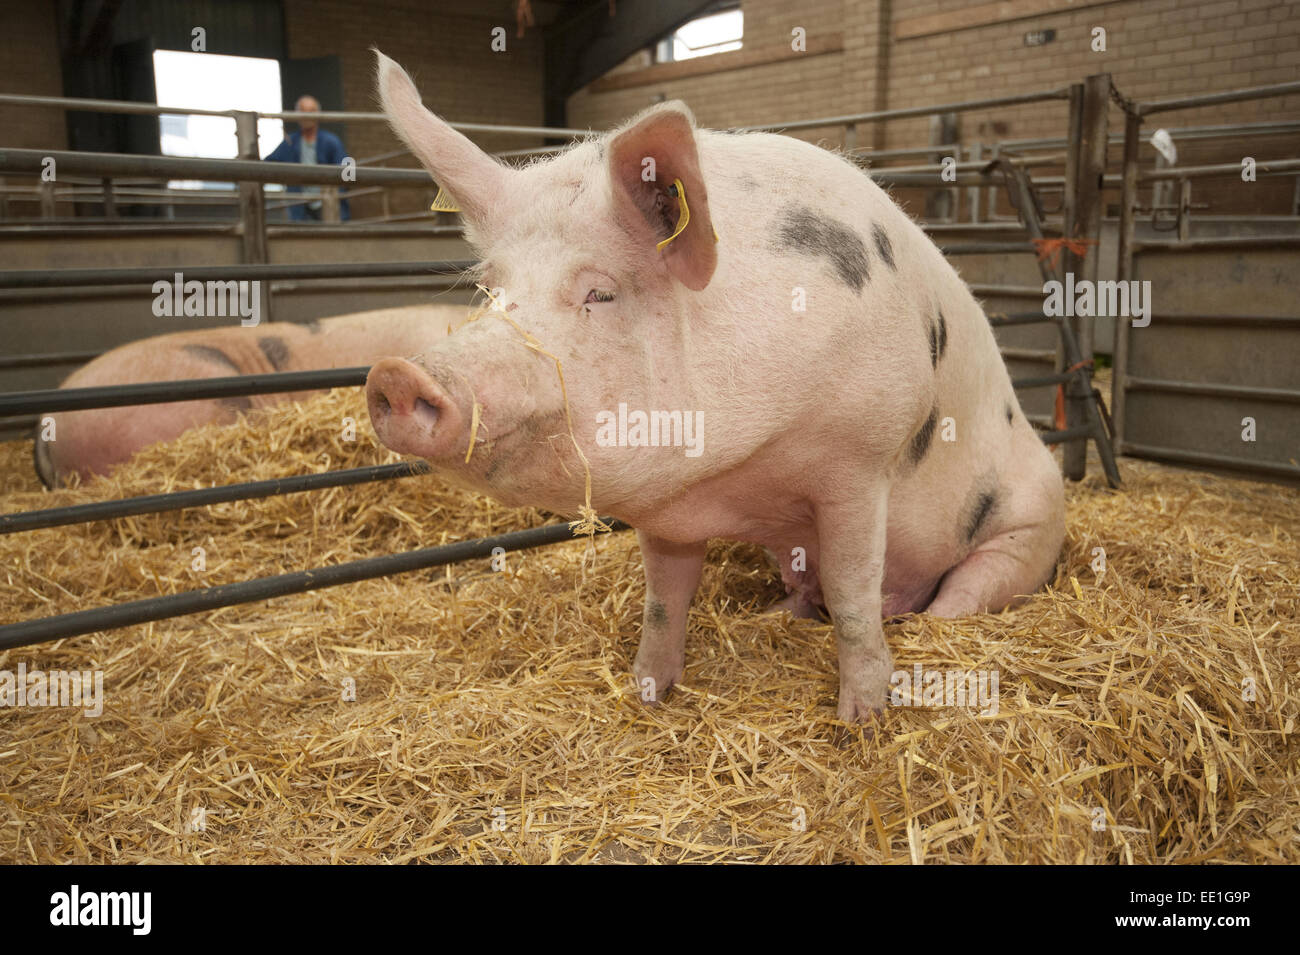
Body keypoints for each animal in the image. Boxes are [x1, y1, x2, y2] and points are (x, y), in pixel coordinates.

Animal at [364, 51, 1066, 722]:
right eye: (491, 290)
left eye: (599, 293)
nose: (395, 374)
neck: (731, 476)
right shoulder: (667, 512)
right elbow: (665, 602)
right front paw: (646, 694)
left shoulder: (861, 460)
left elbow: (852, 593)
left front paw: (862, 719)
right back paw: (771, 617)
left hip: (1027, 528)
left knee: (958, 598)